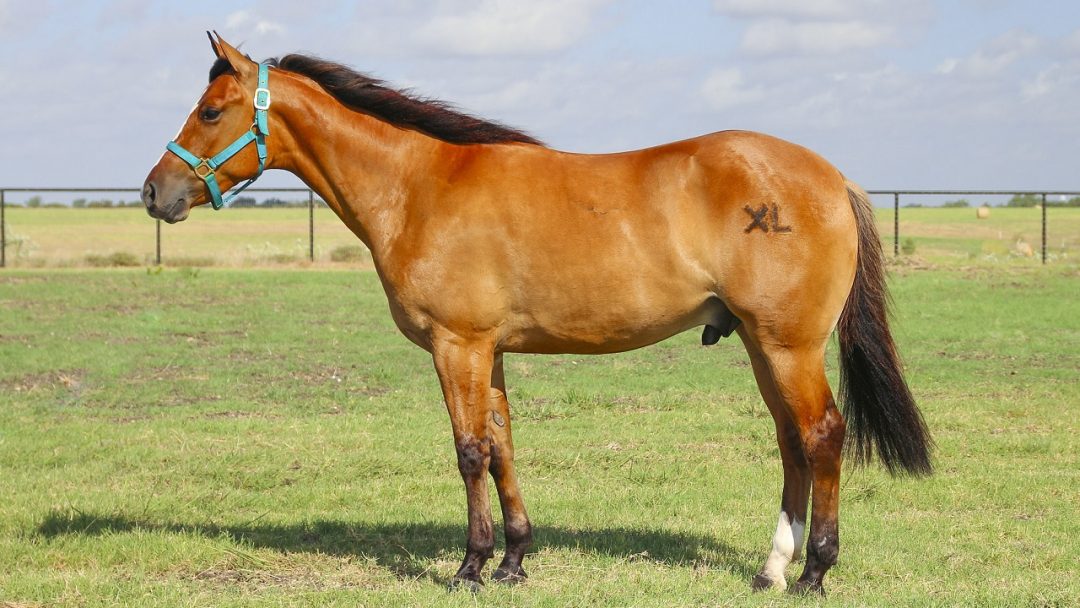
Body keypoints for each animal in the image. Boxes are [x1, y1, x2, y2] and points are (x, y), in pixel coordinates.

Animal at [142, 33, 932, 595]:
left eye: (210, 112)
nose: (155, 192)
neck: (420, 184)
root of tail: (832, 177)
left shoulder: (456, 345)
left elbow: (468, 451)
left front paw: (470, 566)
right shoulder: (488, 350)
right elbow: (503, 447)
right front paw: (515, 560)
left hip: (788, 345)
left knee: (823, 436)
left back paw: (815, 571)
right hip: (764, 348)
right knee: (792, 442)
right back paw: (772, 568)